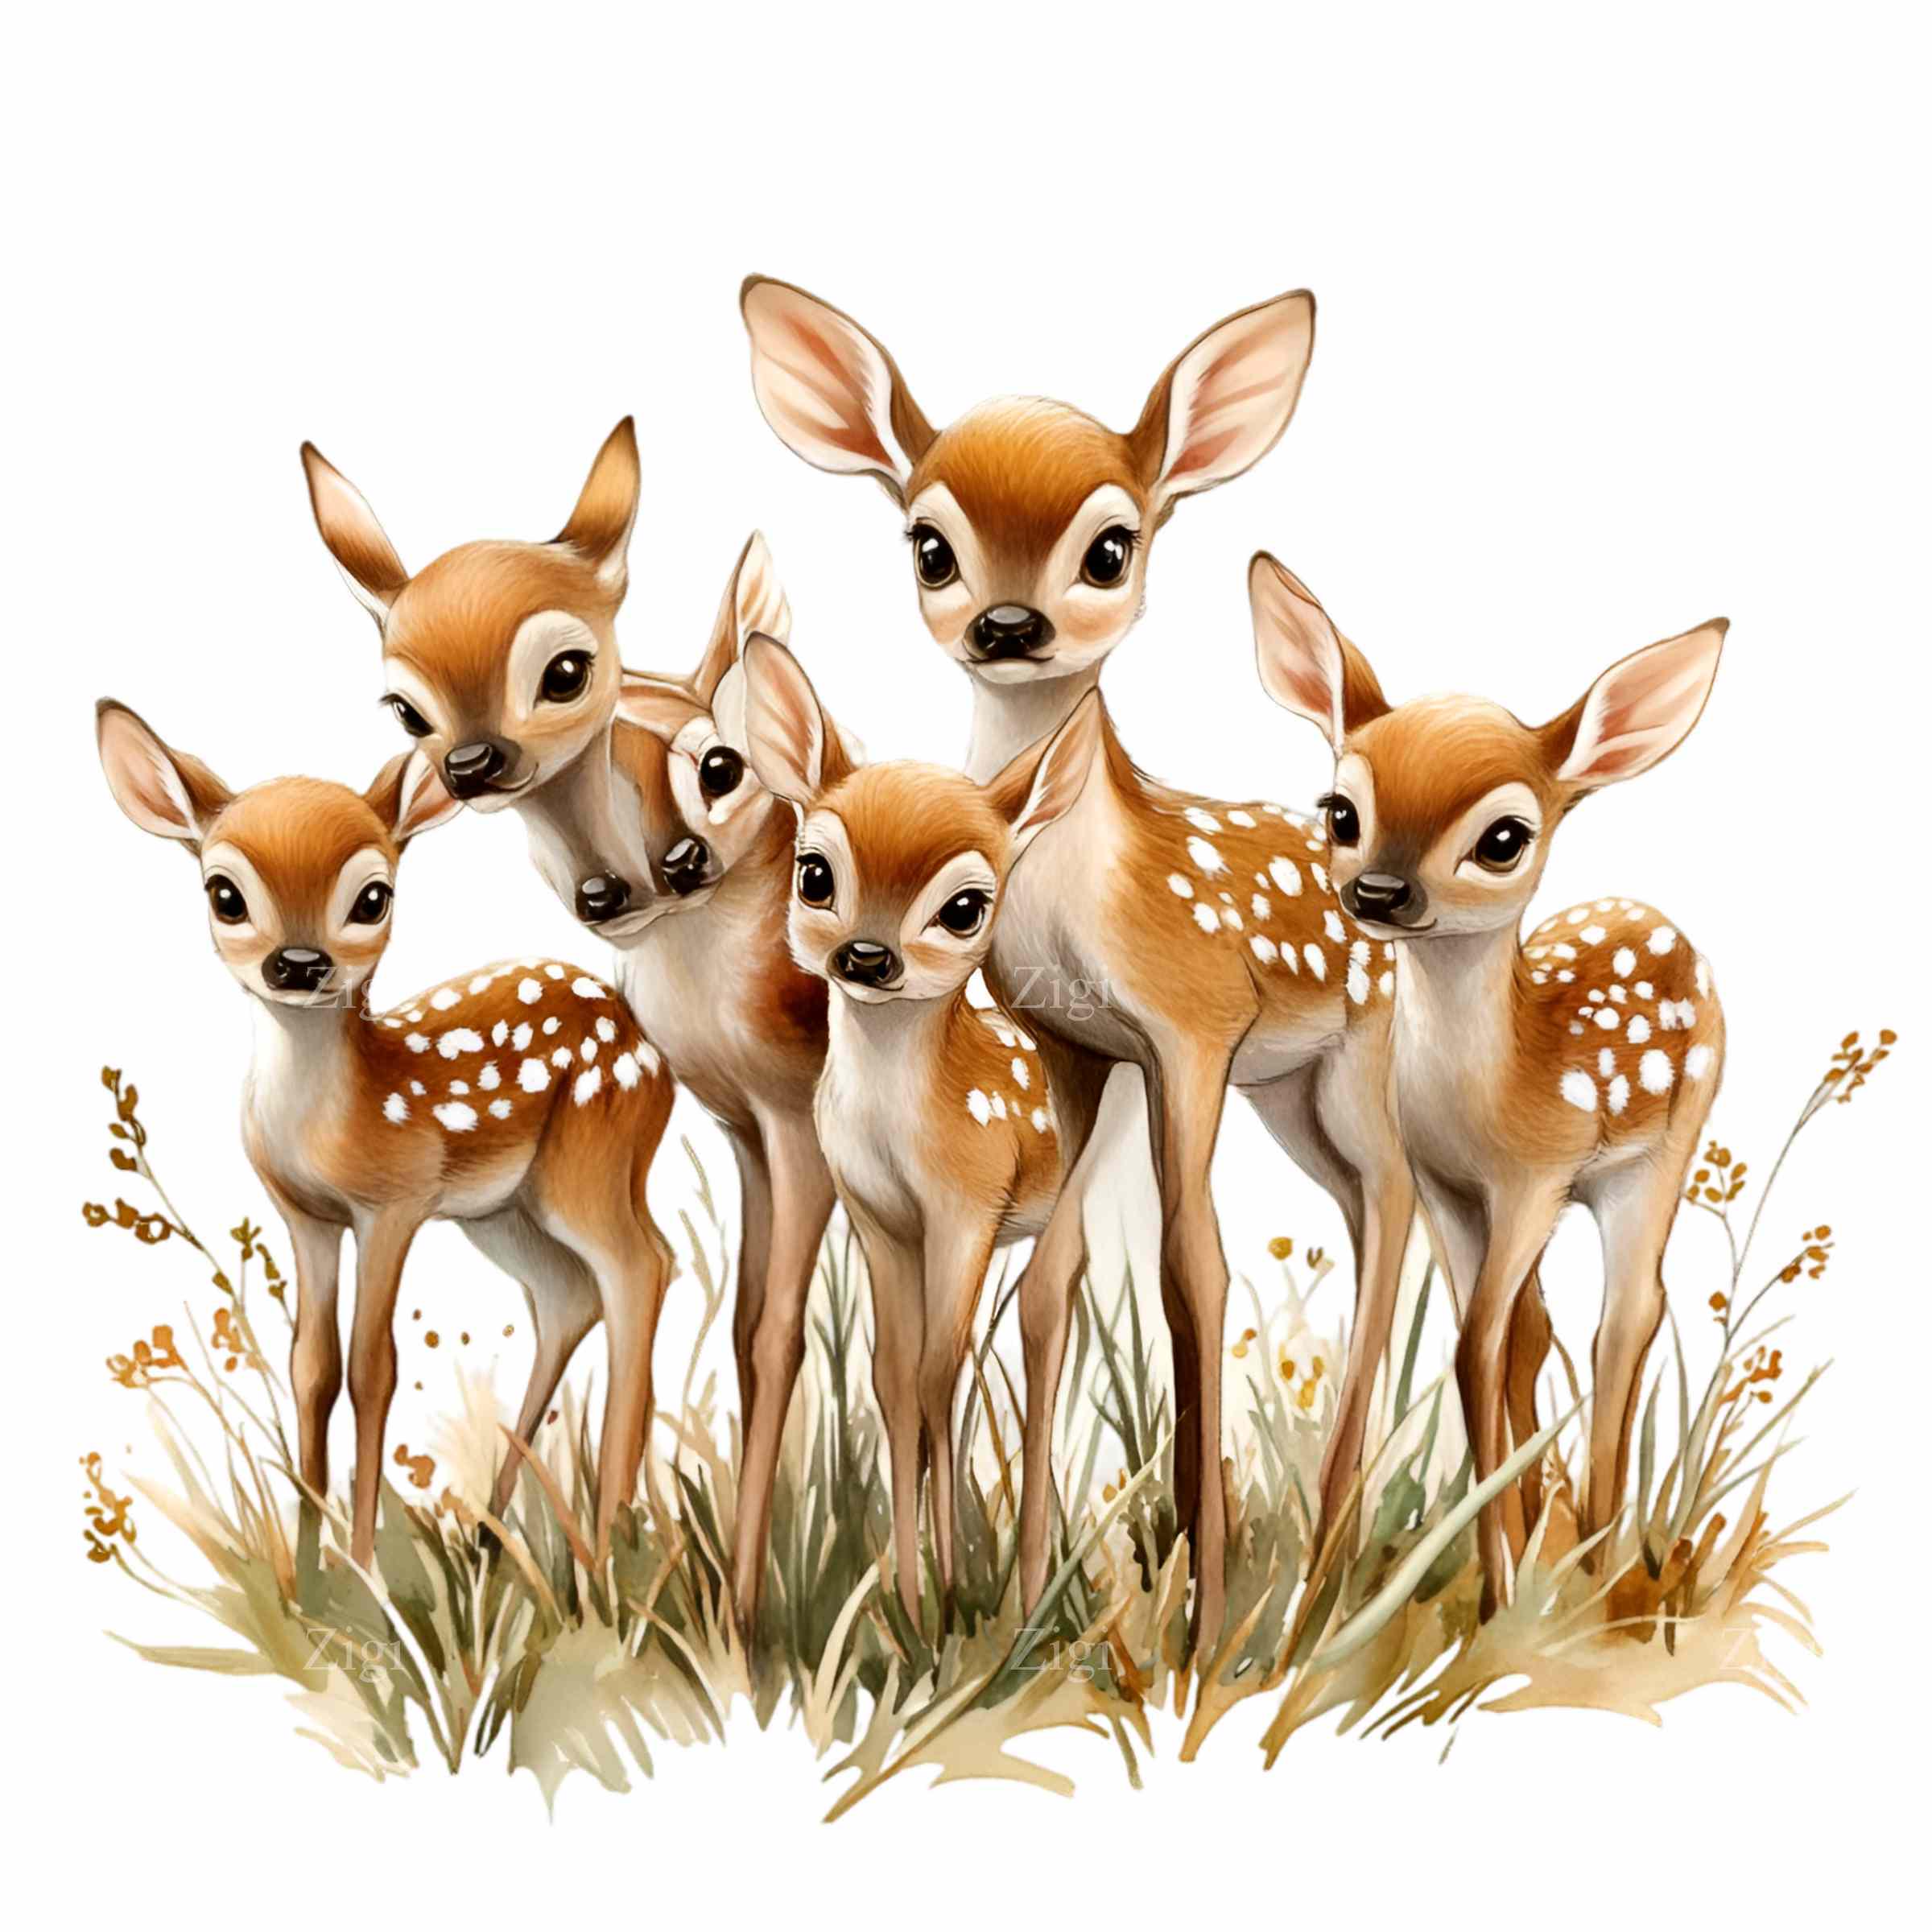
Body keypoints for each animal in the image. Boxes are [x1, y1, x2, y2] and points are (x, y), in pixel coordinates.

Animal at [95, 700, 678, 1570]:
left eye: (372, 898)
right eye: (224, 893)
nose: (298, 963)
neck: (336, 1118)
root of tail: (651, 1049)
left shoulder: (394, 1202)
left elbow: (374, 1371)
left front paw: (365, 1562)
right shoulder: (303, 1215)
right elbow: (311, 1367)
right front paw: (308, 1568)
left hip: (592, 1160)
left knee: (641, 1269)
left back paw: (604, 1545)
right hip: (507, 1213)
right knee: (570, 1298)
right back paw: (498, 1534)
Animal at [299, 421, 852, 1639]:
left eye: (565, 669)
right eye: (406, 710)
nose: (640, 877)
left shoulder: (805, 1120)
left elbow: (779, 1332)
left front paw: (740, 1612)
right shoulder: (743, 1125)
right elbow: (748, 1327)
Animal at [739, 634, 1098, 1628]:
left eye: (965, 907)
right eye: (815, 874)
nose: (867, 956)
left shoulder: (967, 1204)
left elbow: (942, 1375)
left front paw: (945, 1600)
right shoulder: (876, 1213)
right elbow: (895, 1380)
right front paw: (901, 1598)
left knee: (1046, 1314)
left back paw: (1026, 1593)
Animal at [1248, 551, 1728, 1613]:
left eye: (1503, 837)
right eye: (1341, 813)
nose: (1378, 893)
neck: (1492, 1093)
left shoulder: (1533, 1179)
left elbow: (1477, 1342)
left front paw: (1504, 1591)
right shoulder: (1445, 1186)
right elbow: (1495, 1341)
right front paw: (1495, 1563)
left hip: (1662, 1150)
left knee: (1628, 1318)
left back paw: (1601, 1560)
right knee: (1549, 1328)